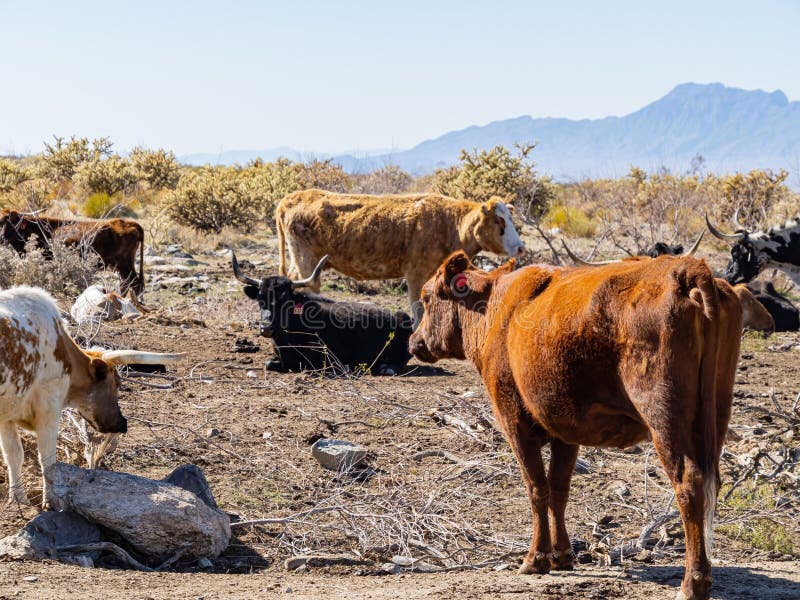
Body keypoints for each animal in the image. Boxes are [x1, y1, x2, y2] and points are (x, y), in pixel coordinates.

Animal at [0, 210, 146, 296]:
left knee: (135, 283)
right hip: (122, 265)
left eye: (10, 223)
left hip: (124, 263)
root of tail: (126, 222)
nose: (1, 237)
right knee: (126, 284)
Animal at [0, 286, 178, 507]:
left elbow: (14, 455)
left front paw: (18, 499)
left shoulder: (7, 415)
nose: (122, 423)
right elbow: (48, 460)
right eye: (117, 383)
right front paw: (50, 500)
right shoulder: (48, 408)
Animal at [275, 189, 525, 324]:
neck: (450, 223)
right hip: (305, 257)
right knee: (308, 285)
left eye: (510, 219)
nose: (521, 248)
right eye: (499, 221)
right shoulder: (415, 272)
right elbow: (418, 306)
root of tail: (291, 197)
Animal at [408, 252, 743, 600]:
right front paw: (562, 555)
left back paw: (693, 582)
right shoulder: (565, 433)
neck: (495, 310)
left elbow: (537, 490)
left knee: (688, 484)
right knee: (710, 483)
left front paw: (536, 558)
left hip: (665, 420)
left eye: (427, 297)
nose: (414, 341)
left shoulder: (516, 426)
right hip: (715, 417)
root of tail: (687, 270)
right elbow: (558, 490)